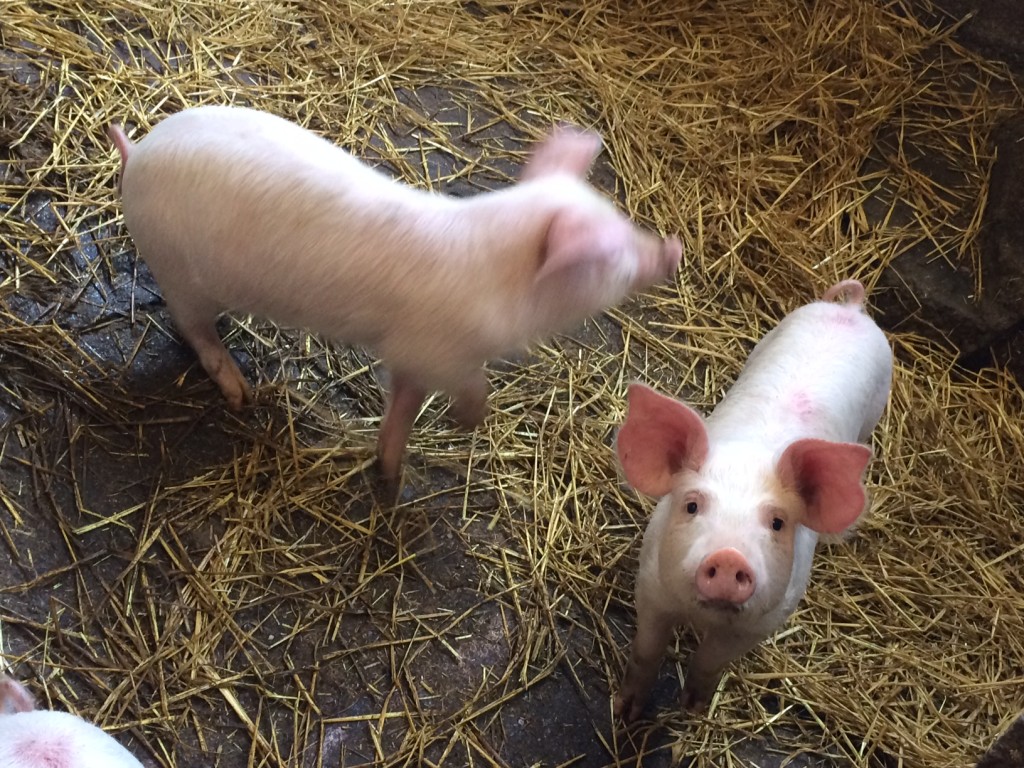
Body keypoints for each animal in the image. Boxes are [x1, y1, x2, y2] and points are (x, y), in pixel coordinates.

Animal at [107, 106, 682, 491]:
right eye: (611, 253)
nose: (672, 248)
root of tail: (137, 154)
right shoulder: (432, 349)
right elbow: (470, 385)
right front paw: (467, 421)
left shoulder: (415, 361)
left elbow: (403, 407)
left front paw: (388, 471)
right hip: (179, 271)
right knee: (191, 329)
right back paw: (240, 392)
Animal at [614, 279, 892, 720]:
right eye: (692, 505)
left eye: (777, 523)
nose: (728, 558)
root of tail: (850, 311)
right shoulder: (651, 585)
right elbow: (646, 650)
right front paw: (624, 712)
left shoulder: (767, 619)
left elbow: (711, 662)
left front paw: (694, 709)